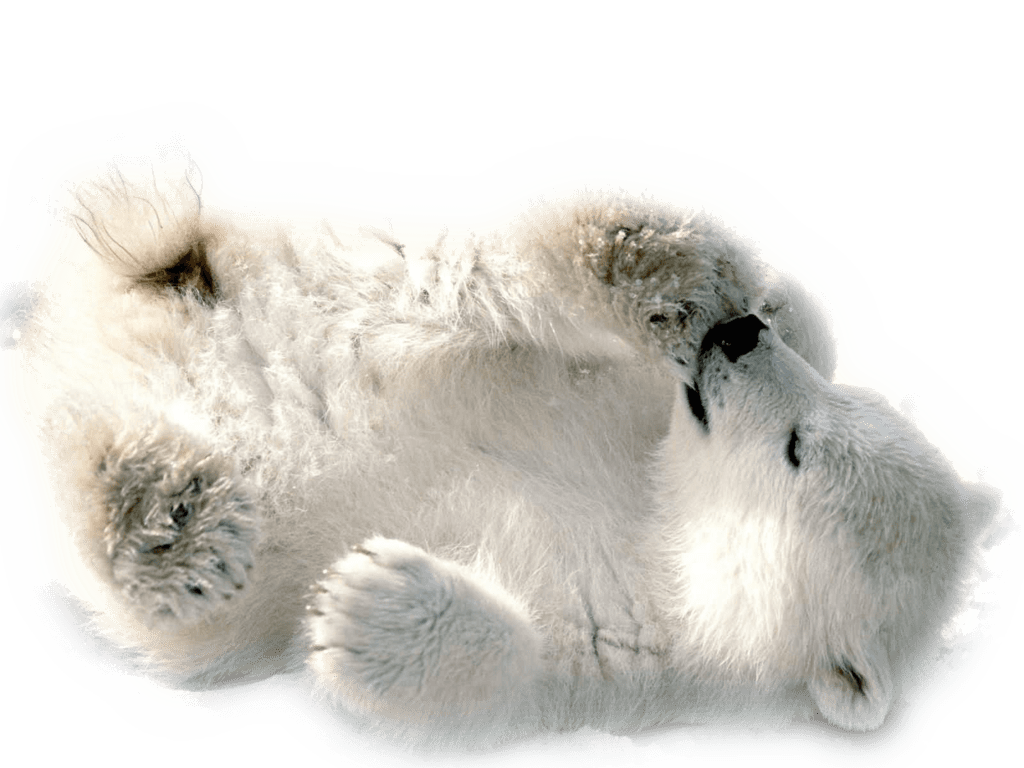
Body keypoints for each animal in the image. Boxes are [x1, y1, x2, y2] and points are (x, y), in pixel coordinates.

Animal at [11, 153, 1004, 753]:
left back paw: (166, 516)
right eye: (843, 405)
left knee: (97, 470)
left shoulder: (639, 656)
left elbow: (499, 680)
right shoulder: (625, 408)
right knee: (460, 272)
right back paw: (652, 256)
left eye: (800, 449)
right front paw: (753, 297)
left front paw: (363, 604)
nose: (736, 339)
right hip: (345, 275)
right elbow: (799, 322)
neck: (659, 517)